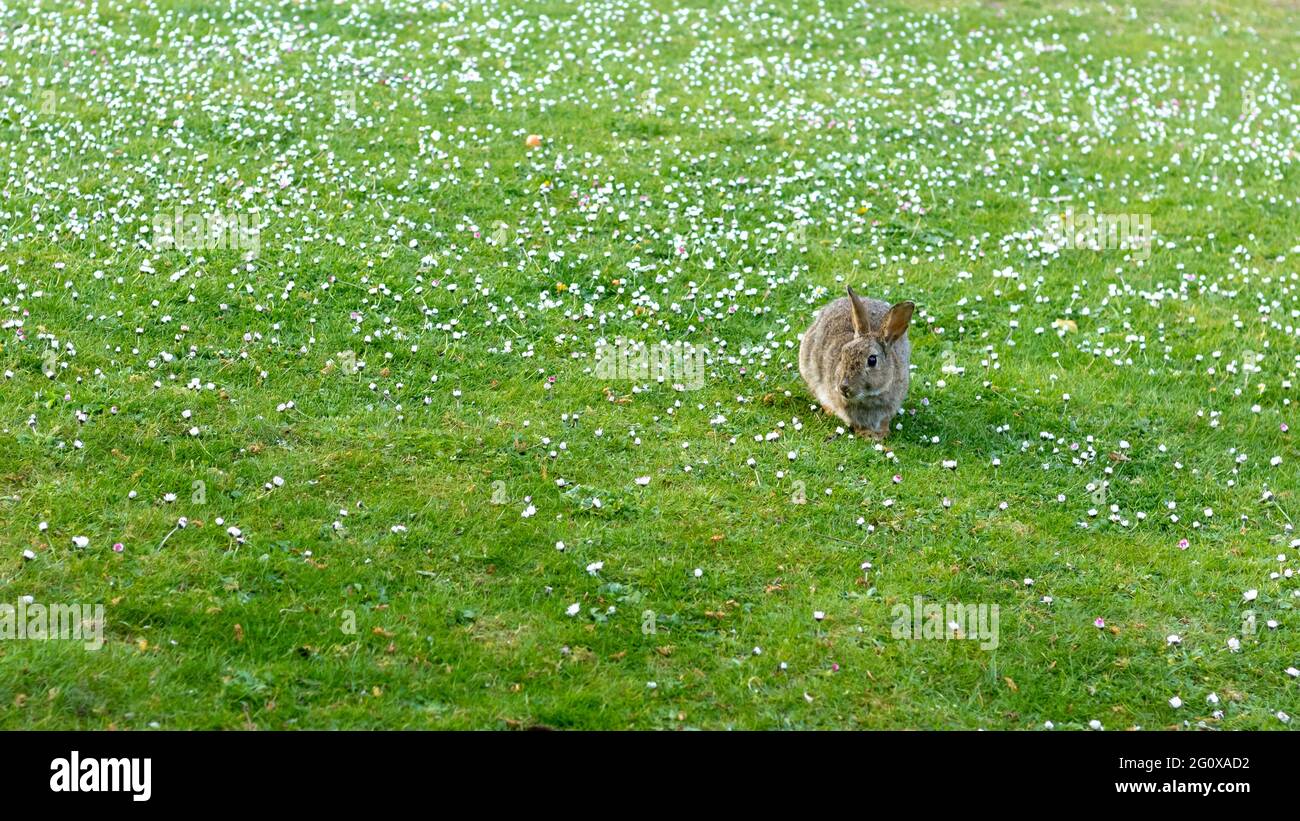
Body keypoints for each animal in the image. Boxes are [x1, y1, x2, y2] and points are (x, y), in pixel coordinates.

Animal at [799, 286, 915, 439]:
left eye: (872, 360)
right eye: (843, 354)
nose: (843, 387)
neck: (870, 396)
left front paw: (882, 433)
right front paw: (867, 434)